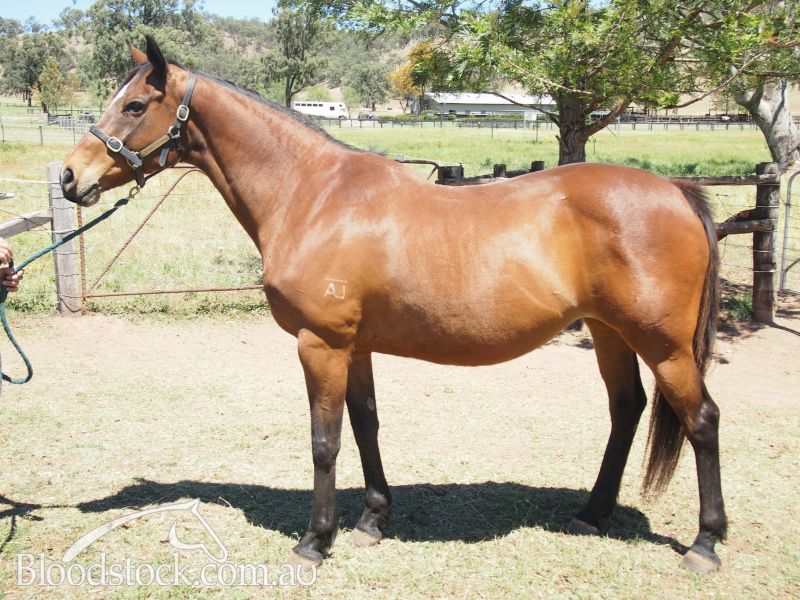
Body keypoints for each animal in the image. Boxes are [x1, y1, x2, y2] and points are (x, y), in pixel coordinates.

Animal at [60, 37, 726, 573]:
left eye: (135, 106)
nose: (69, 177)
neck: (312, 194)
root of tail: (677, 191)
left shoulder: (321, 344)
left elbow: (324, 441)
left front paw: (315, 541)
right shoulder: (354, 347)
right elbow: (365, 426)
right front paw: (372, 521)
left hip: (663, 344)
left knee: (701, 420)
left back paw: (704, 544)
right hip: (609, 331)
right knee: (627, 408)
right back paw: (591, 513)